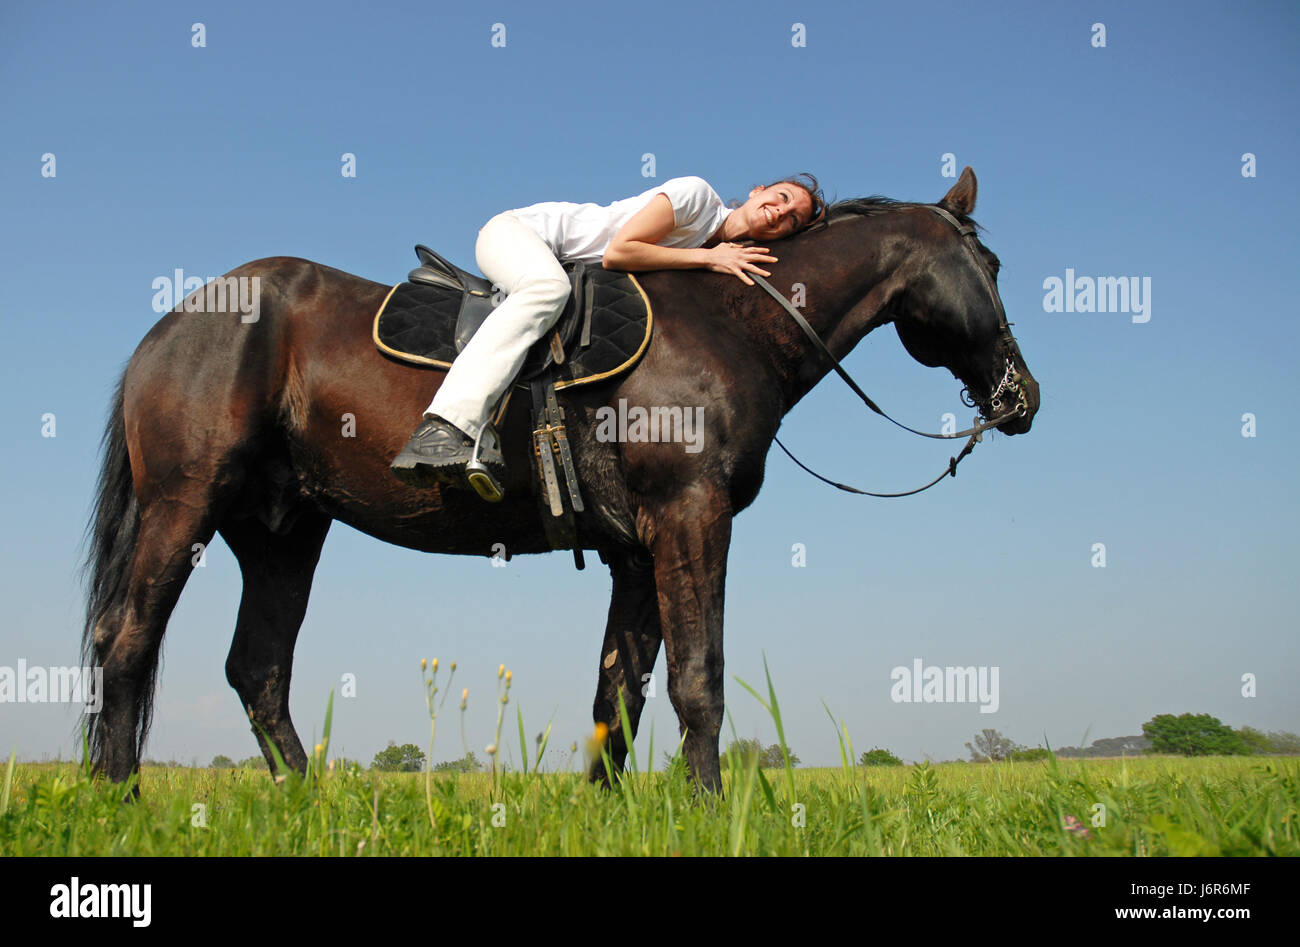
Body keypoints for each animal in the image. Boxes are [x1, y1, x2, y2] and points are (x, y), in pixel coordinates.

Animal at [82, 167, 1039, 795]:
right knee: (127, 641)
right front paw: (707, 807)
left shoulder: (638, 551)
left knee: (258, 670)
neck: (730, 321)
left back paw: (305, 803)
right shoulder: (691, 518)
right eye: (990, 269)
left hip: (281, 533)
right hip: (184, 507)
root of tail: (175, 321)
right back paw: (121, 796)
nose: (1021, 396)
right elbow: (698, 676)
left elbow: (621, 690)